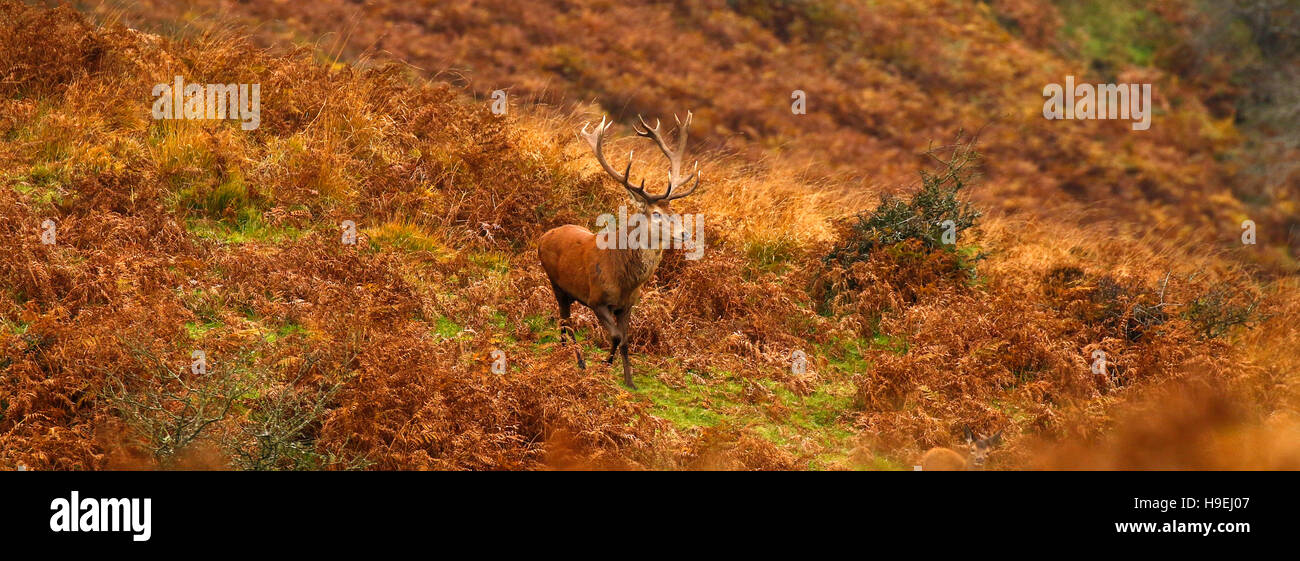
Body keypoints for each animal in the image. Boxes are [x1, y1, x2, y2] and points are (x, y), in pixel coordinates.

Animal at [535, 111, 707, 386]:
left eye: (673, 210)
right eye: (656, 213)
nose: (685, 233)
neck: (625, 280)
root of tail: (543, 237)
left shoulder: (628, 305)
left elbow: (626, 339)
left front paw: (628, 380)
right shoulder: (597, 300)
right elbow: (616, 336)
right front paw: (604, 365)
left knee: (563, 322)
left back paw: (563, 351)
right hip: (556, 282)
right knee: (566, 320)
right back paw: (579, 361)